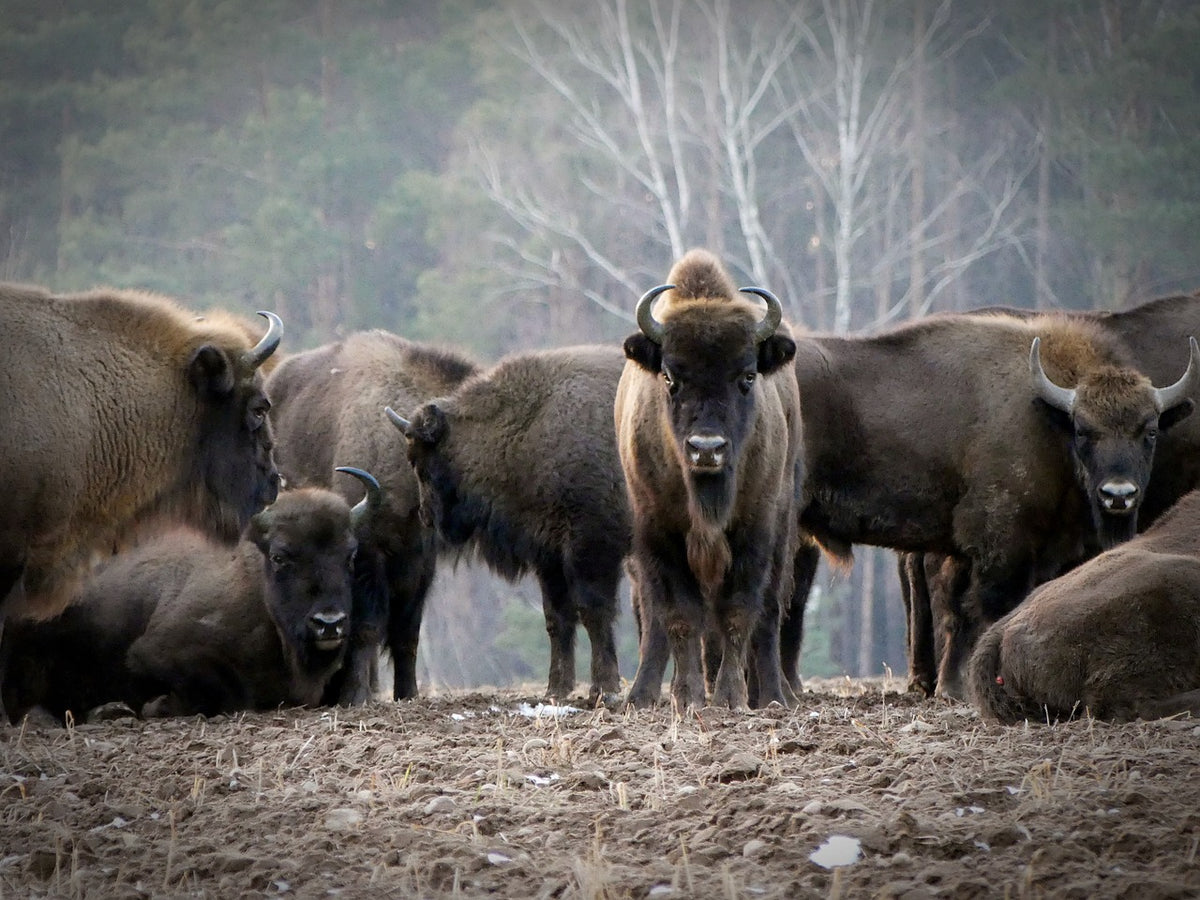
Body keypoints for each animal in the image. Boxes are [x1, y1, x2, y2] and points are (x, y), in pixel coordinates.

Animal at [2, 469, 378, 722]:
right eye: (279, 556)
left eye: (350, 555)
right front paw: (153, 706)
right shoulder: (156, 651)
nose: (328, 623)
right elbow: (229, 692)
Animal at [266, 331, 480, 701]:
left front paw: (408, 694)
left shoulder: (418, 561)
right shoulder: (368, 552)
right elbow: (365, 627)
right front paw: (356, 696)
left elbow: (407, 634)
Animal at [387, 344, 628, 704]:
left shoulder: (591, 547)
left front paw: (605, 691)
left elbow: (594, 611)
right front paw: (556, 690)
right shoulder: (549, 555)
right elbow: (557, 618)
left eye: (421, 463)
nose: (427, 516)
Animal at [615, 249, 802, 710]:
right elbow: (679, 616)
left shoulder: (753, 528)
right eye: (669, 377)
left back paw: (774, 696)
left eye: (748, 376)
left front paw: (731, 697)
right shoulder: (659, 531)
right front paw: (689, 697)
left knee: (769, 613)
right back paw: (641, 696)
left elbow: (739, 612)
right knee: (657, 620)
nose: (706, 448)